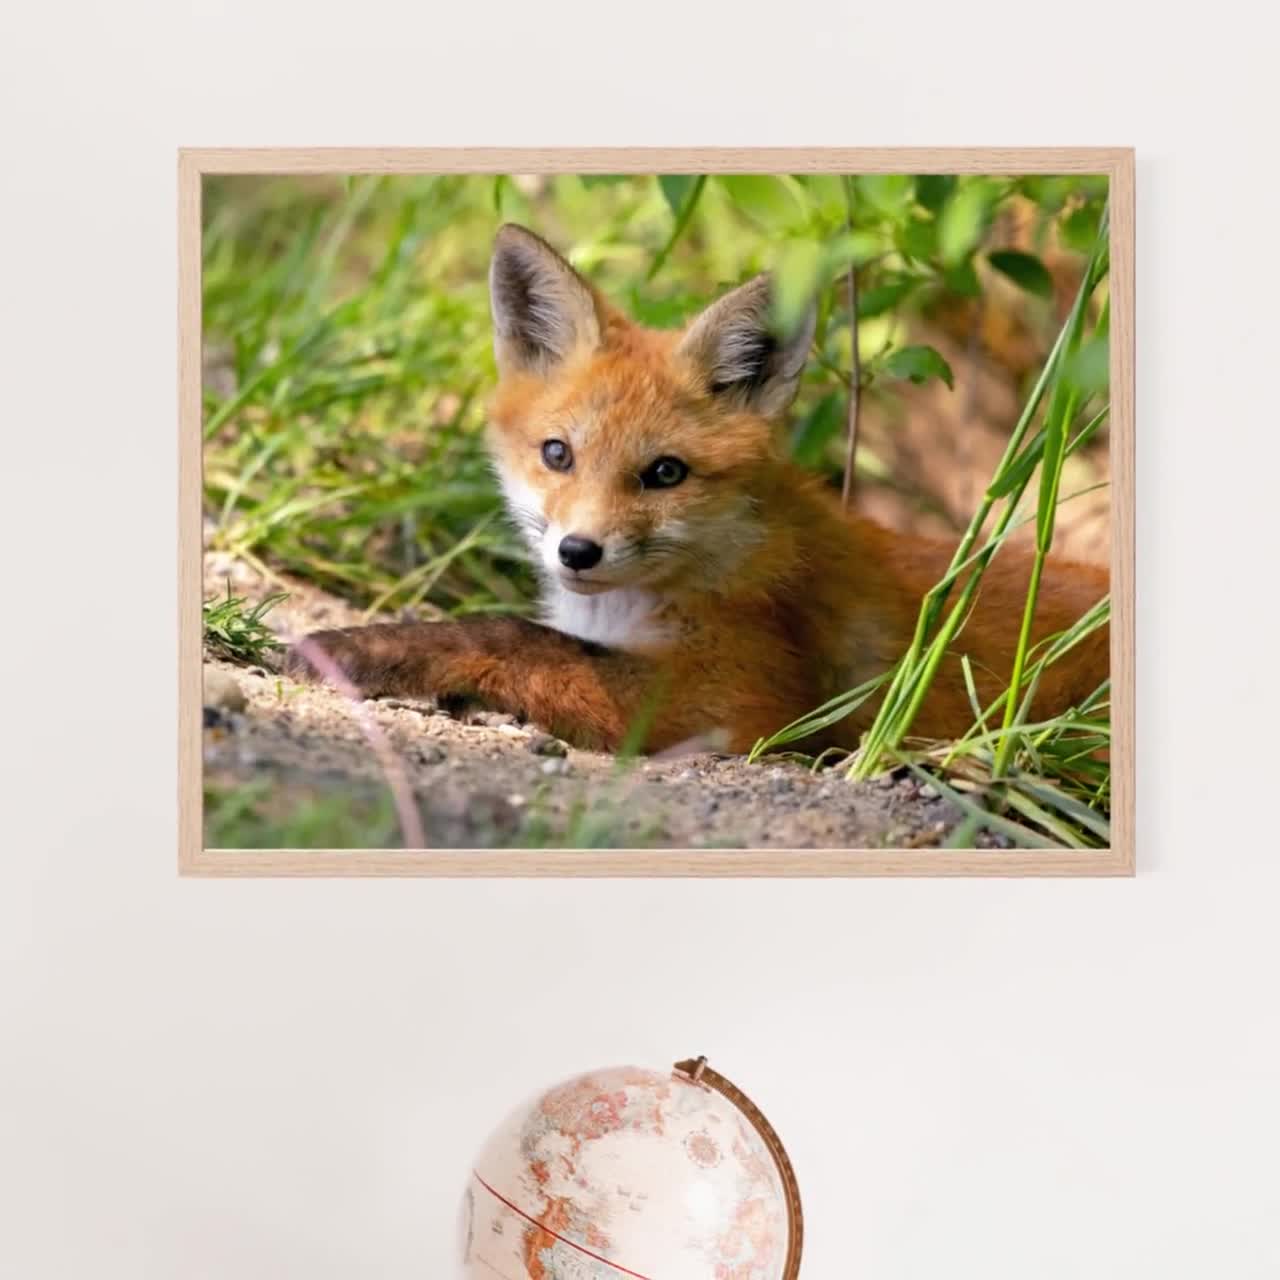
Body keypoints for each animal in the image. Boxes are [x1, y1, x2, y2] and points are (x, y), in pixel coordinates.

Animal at [286, 223, 1109, 755]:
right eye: (557, 454)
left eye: (665, 473)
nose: (577, 551)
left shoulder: (739, 699)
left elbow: (523, 639)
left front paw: (362, 648)